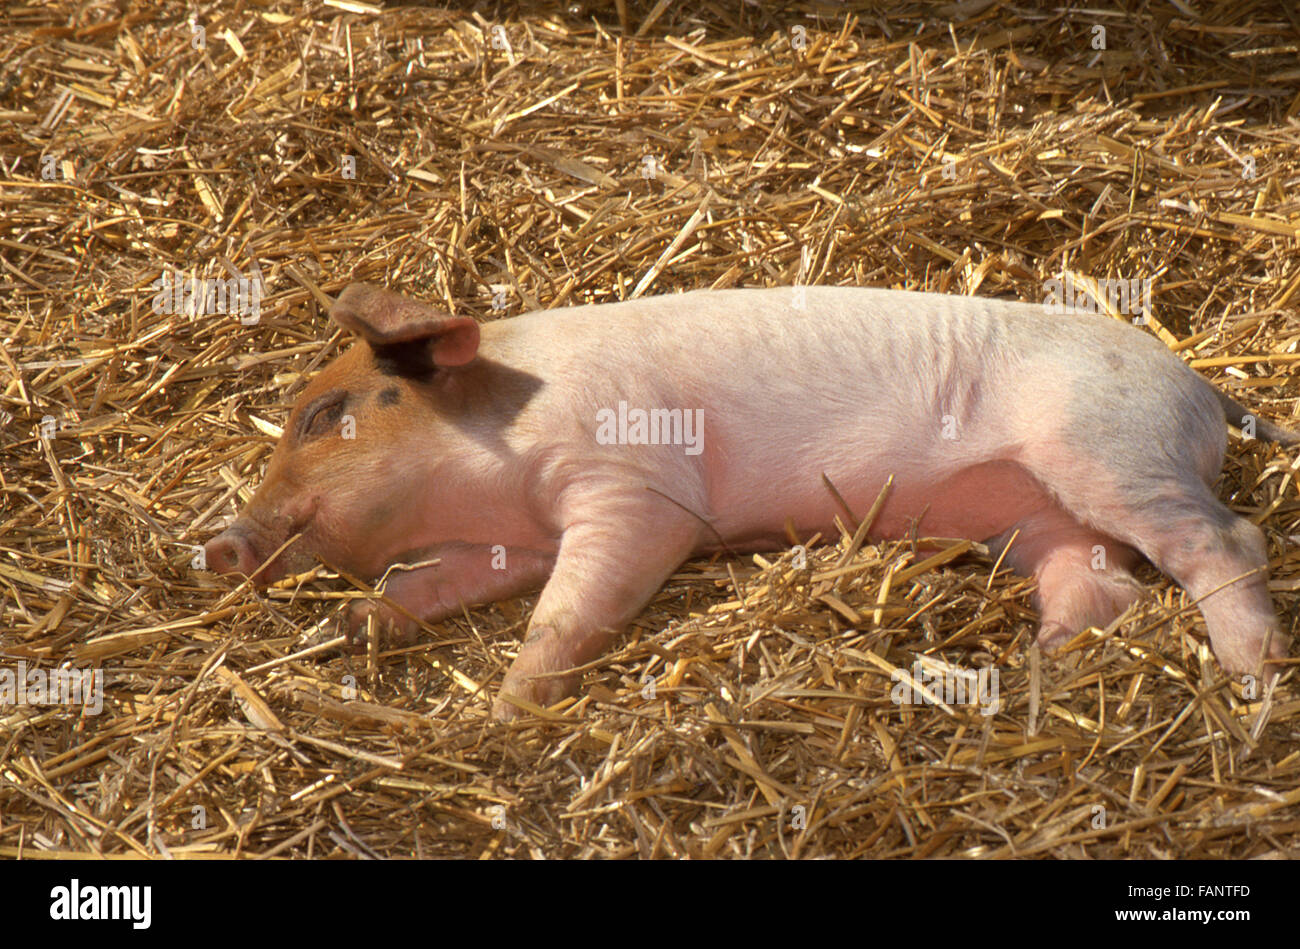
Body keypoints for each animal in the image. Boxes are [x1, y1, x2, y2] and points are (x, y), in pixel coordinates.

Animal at [205, 283, 1297, 719]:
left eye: (325, 414)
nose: (217, 545)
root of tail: (1203, 390)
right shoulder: (507, 544)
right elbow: (437, 581)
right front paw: (358, 625)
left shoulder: (637, 492)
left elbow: (569, 608)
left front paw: (507, 707)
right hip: (1037, 514)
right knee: (1103, 586)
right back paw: (1028, 665)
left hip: (1109, 448)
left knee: (1227, 539)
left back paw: (1252, 676)